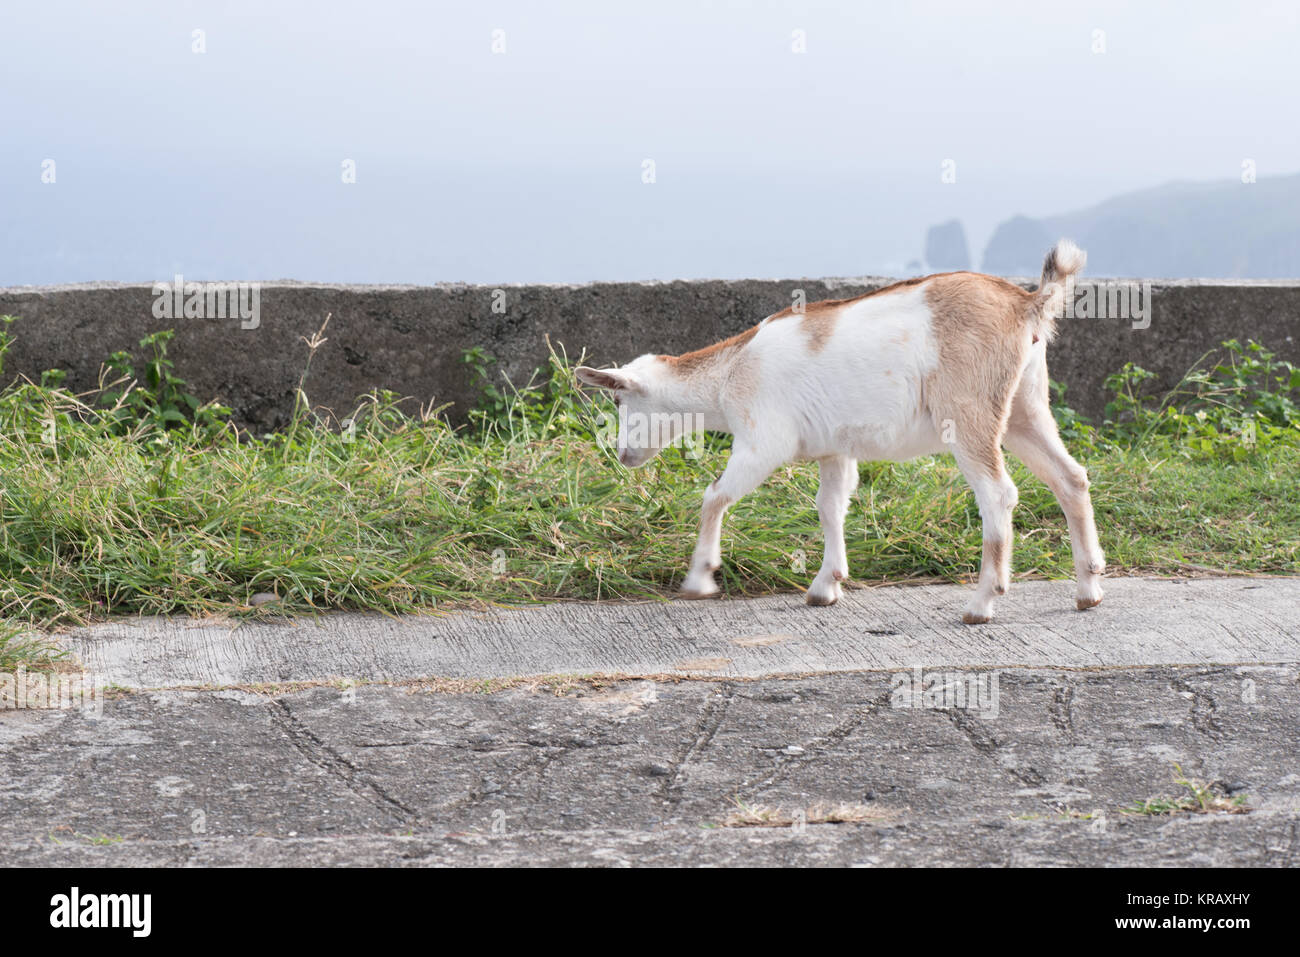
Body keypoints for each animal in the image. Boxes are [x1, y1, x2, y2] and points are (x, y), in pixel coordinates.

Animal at [575, 240, 1105, 623]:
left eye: (619, 400)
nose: (623, 455)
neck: (729, 374)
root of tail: (1026, 304)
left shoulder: (762, 442)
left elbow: (715, 496)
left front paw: (701, 579)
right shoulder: (834, 450)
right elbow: (830, 506)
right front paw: (825, 586)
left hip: (969, 409)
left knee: (998, 494)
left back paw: (982, 603)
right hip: (1024, 408)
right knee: (1070, 477)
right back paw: (1089, 588)